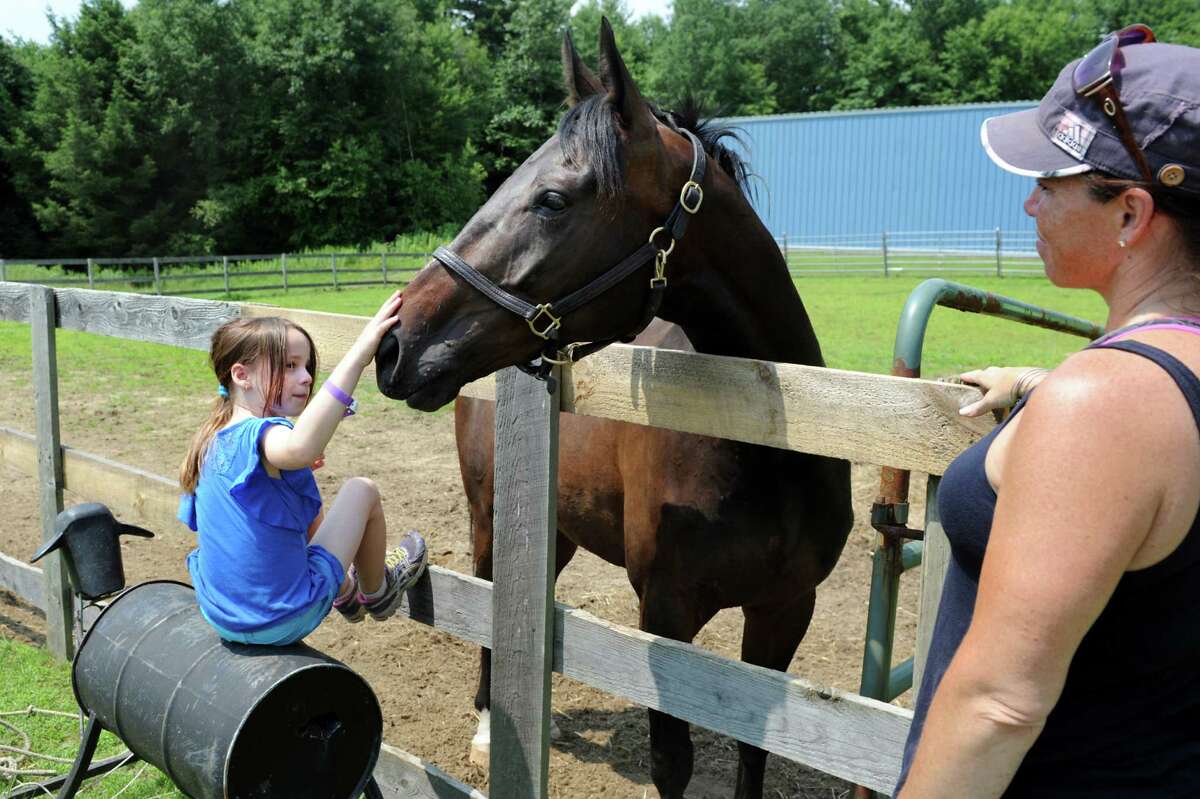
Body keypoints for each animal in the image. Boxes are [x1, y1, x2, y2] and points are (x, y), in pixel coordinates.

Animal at [374, 20, 854, 799]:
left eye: (551, 199)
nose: (394, 341)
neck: (761, 452)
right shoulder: (665, 614)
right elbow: (671, 762)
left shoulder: (786, 609)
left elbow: (753, 754)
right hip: (488, 518)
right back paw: (488, 728)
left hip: (563, 528)